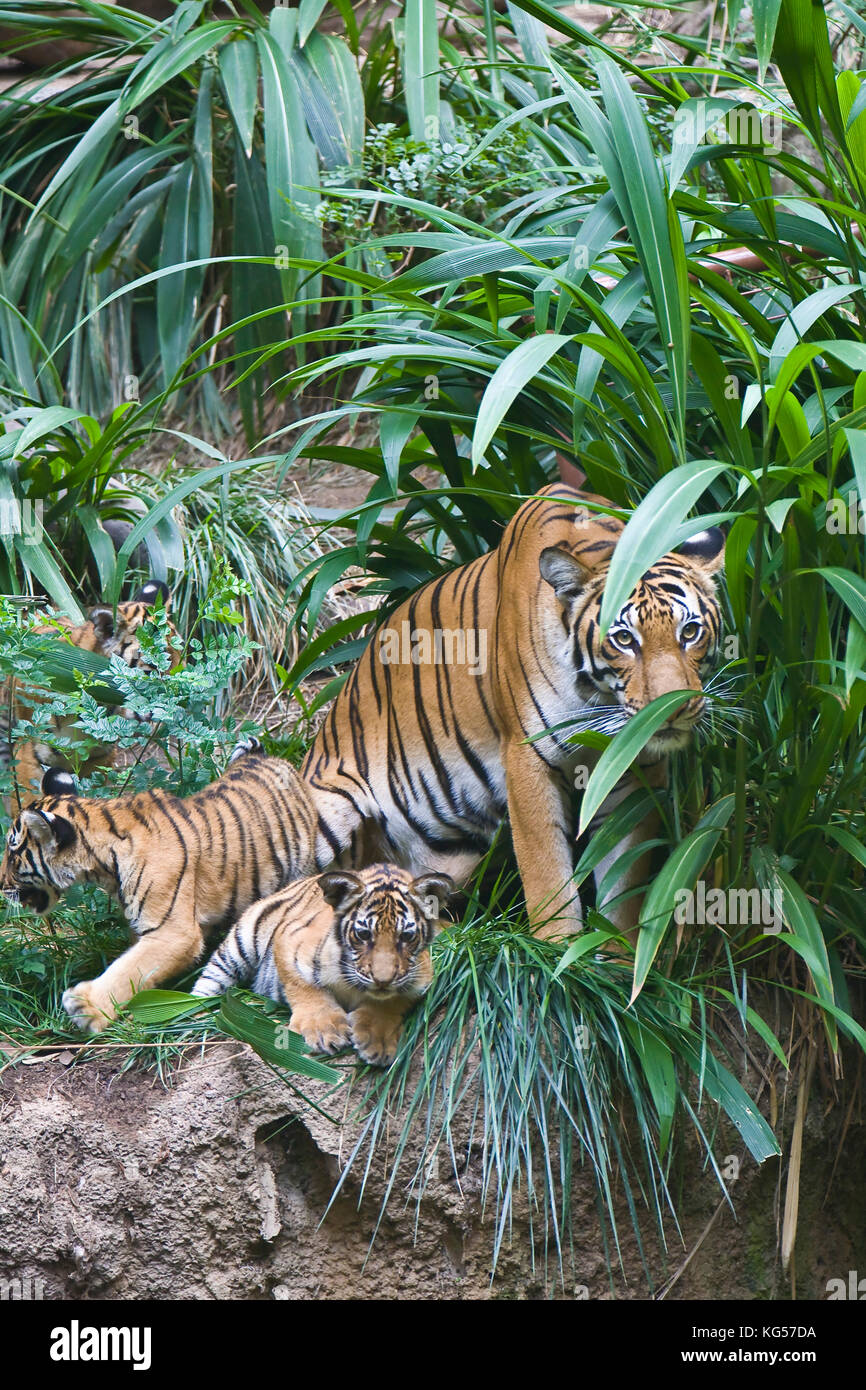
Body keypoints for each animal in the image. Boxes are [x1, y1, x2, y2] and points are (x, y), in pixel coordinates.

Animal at [0, 740, 319, 1033]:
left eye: (13, 852)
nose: (1, 885)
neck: (104, 865)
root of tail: (267, 757)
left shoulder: (174, 932)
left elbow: (130, 968)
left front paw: (86, 1008)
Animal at [192, 863, 454, 1066]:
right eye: (364, 934)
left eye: (406, 936)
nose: (383, 980)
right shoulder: (289, 940)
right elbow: (304, 987)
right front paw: (323, 1030)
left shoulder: (422, 977)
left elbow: (392, 1000)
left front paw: (376, 1039)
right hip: (240, 943)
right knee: (209, 982)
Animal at [301, 483, 725, 939]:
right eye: (625, 639)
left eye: (690, 631)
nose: (674, 709)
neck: (598, 700)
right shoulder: (528, 759)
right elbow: (548, 878)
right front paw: (560, 949)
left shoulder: (633, 769)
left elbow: (623, 882)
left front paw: (616, 949)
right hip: (326, 811)